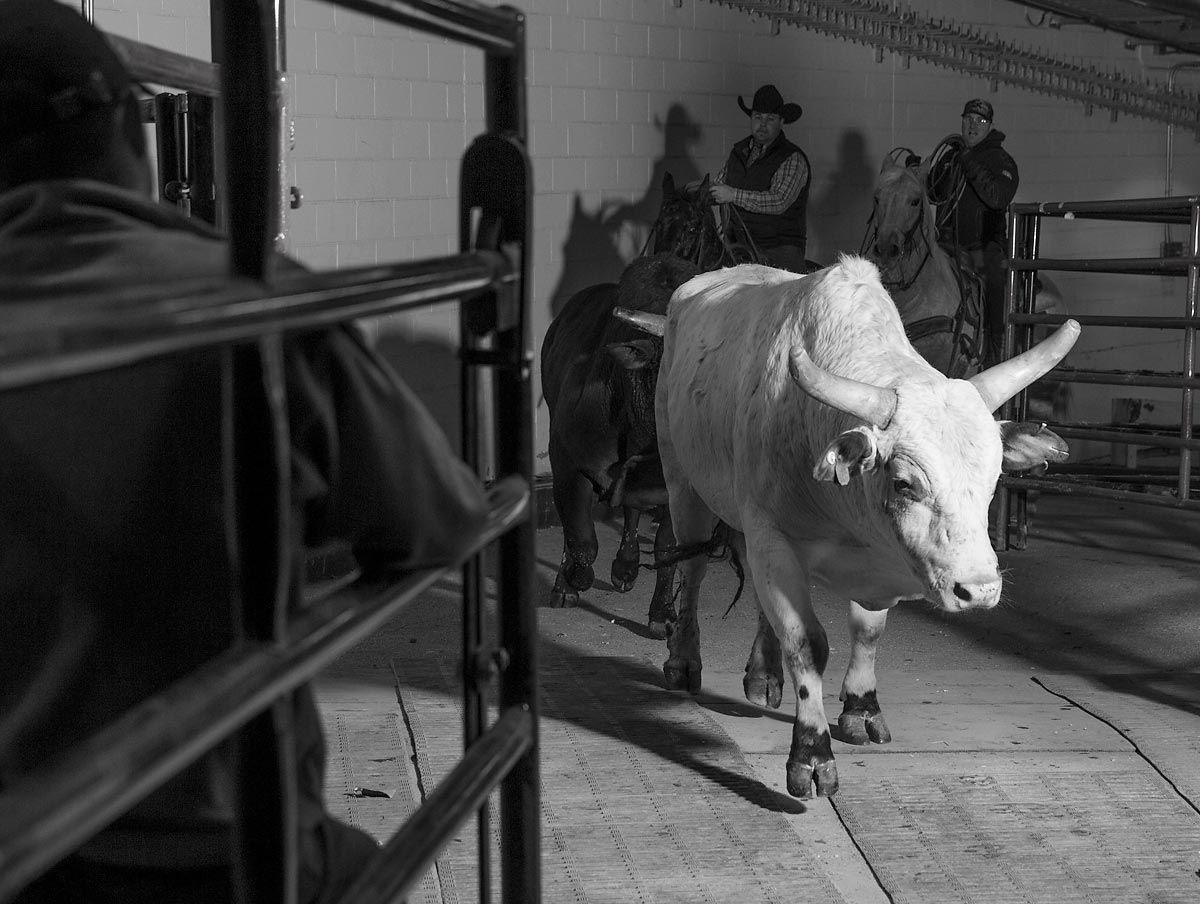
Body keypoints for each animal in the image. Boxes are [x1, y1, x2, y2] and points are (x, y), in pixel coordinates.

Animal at [540, 252, 701, 630]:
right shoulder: (566, 464)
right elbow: (581, 539)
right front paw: (572, 580)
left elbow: (667, 548)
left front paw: (662, 613)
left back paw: (625, 568)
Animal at [626, 255, 1078, 798]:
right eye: (904, 482)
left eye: (994, 479)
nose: (980, 591)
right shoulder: (775, 539)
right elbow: (807, 642)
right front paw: (811, 754)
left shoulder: (868, 557)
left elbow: (867, 631)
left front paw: (860, 708)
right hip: (683, 483)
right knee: (690, 570)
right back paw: (684, 661)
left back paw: (763, 673)